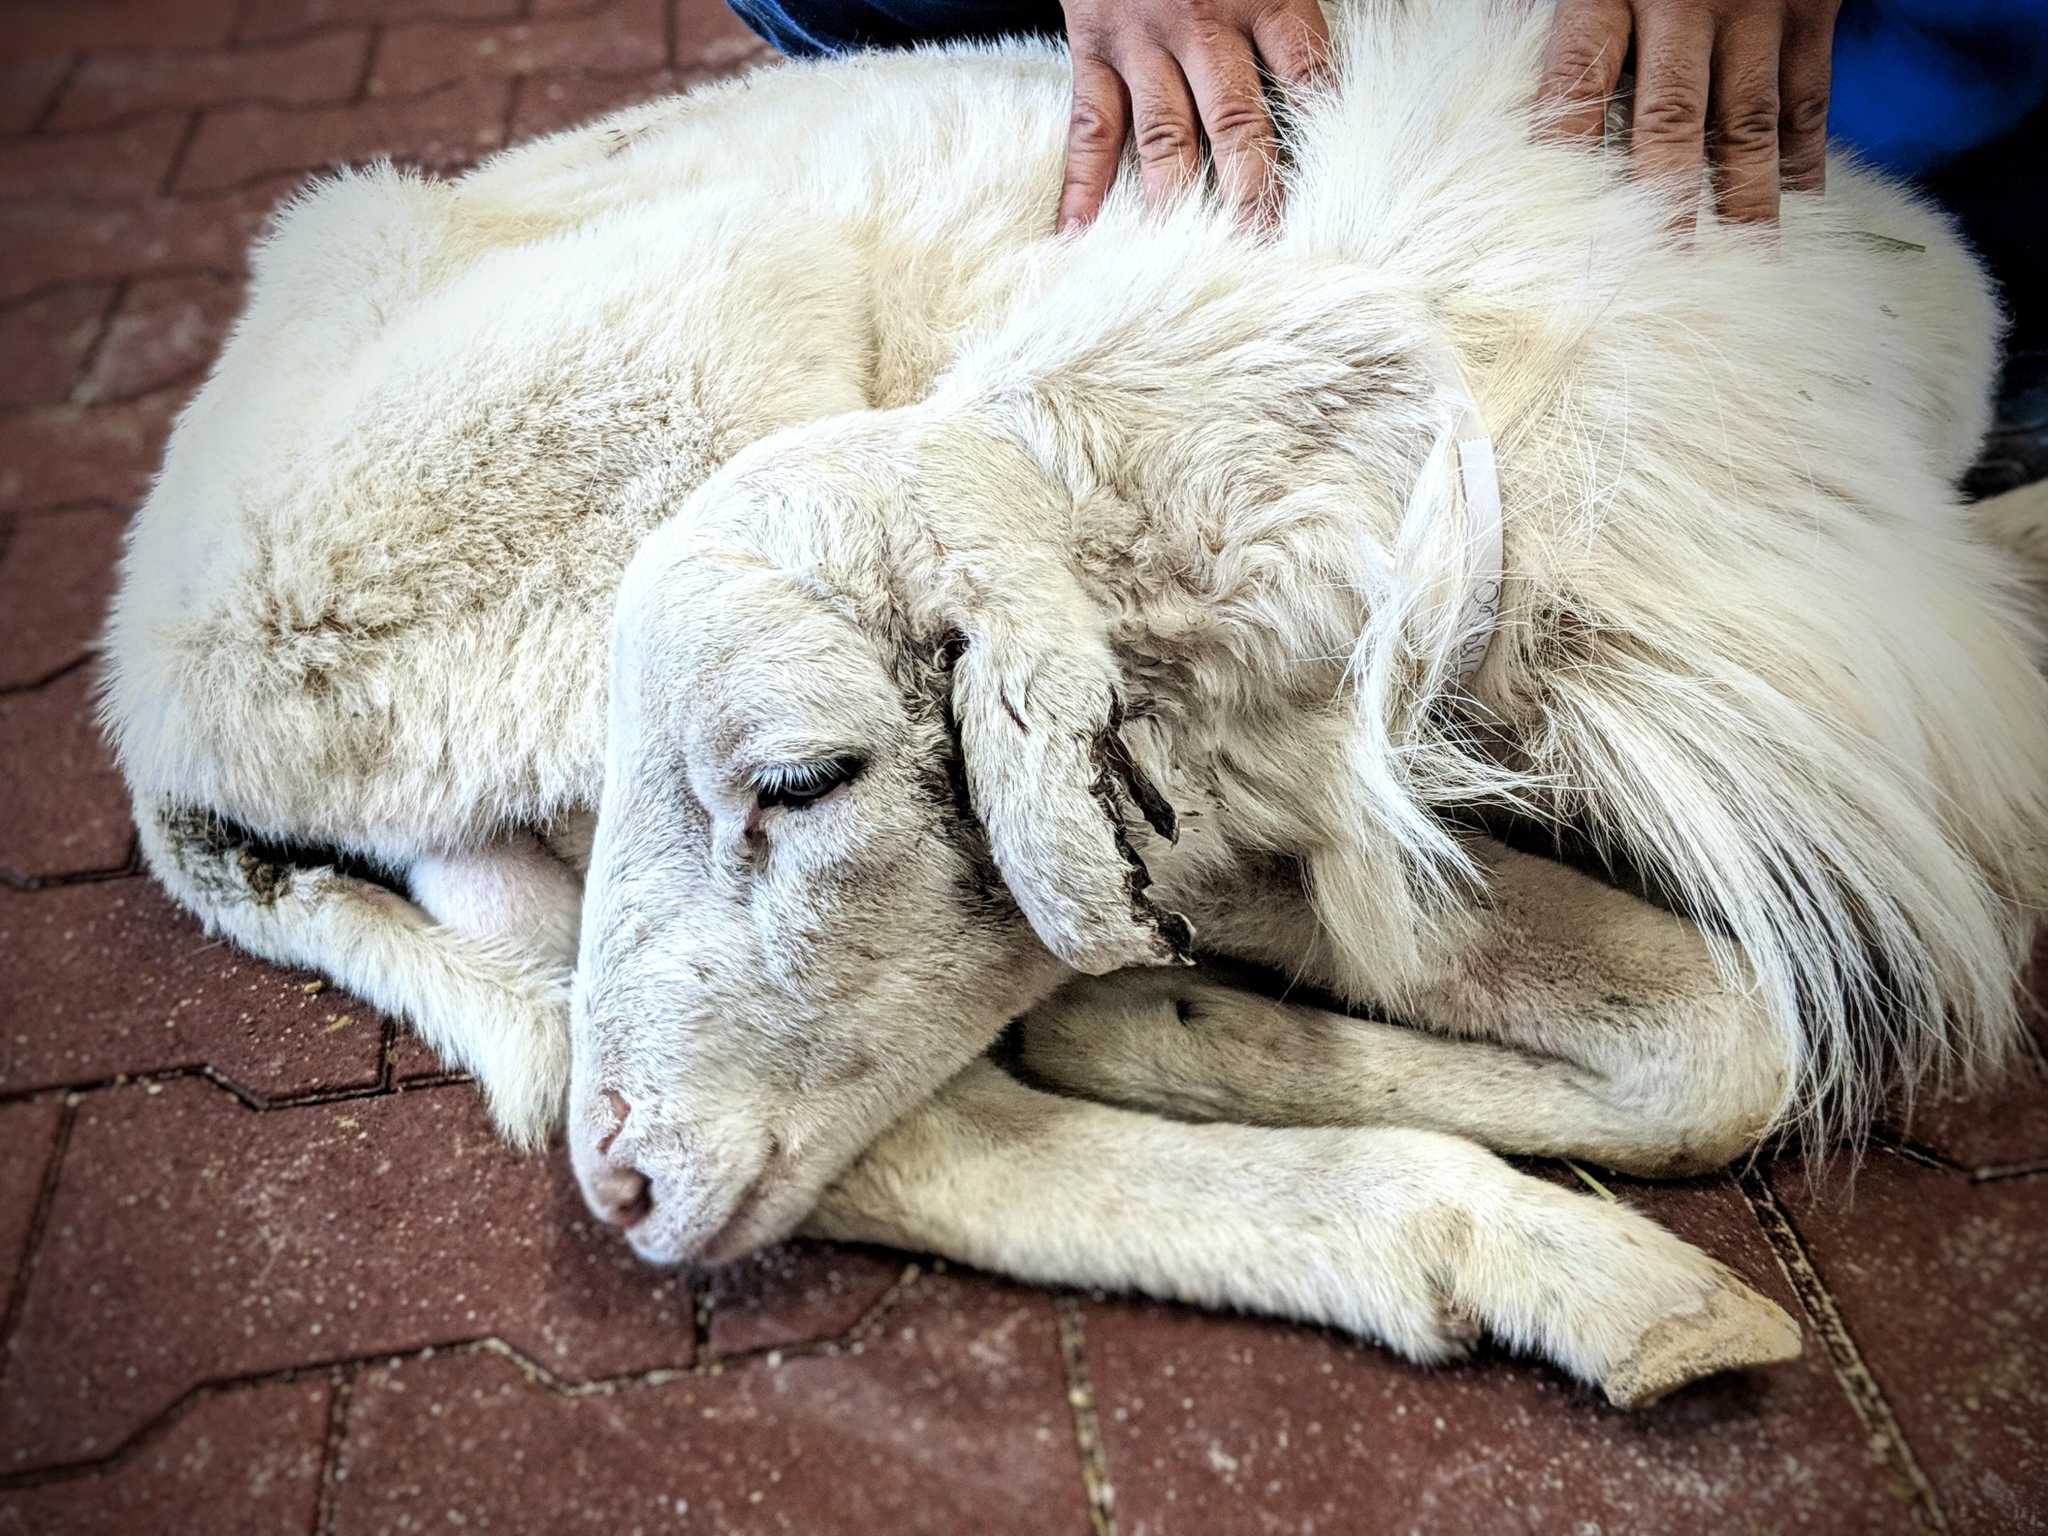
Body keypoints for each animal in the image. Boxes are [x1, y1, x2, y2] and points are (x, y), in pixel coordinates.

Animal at [99, 0, 2047, 1406]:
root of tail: (147, 678)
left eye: (799, 780)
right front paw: (1168, 1025)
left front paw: (1206, 1013)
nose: (623, 1190)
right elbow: (1729, 1032)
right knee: (897, 1137)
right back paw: (1520, 1256)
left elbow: (1721, 1040)